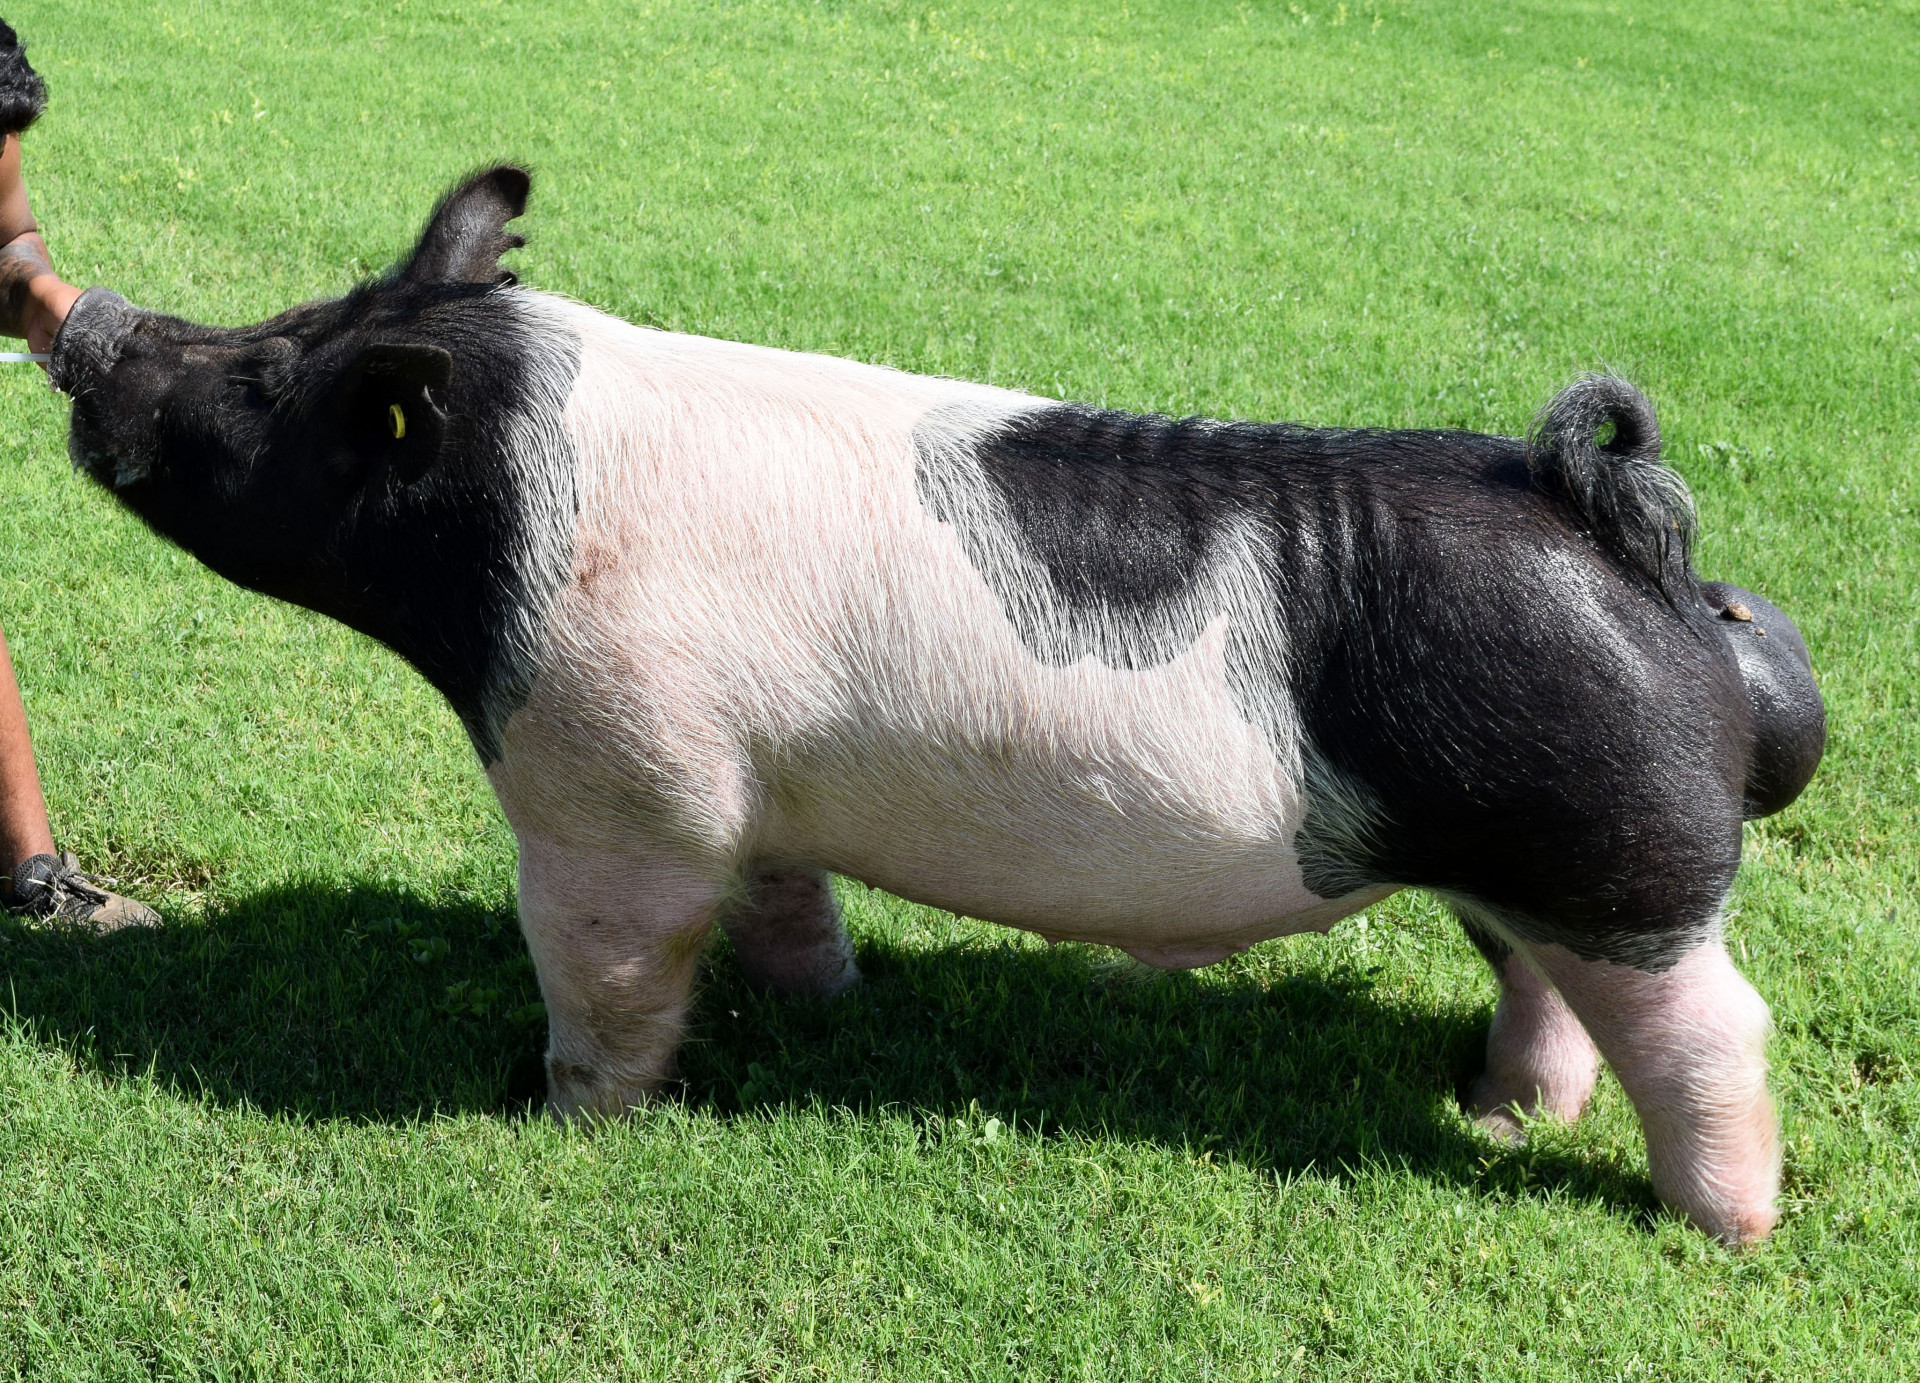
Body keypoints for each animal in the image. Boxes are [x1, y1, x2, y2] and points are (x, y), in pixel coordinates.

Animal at [50, 167, 1824, 1245]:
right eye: (291, 320)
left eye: (270, 382)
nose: (102, 328)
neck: (516, 513)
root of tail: (1640, 554)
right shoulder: (753, 781)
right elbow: (781, 896)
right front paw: (824, 1006)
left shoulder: (617, 774)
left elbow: (607, 957)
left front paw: (564, 1112)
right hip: (1522, 857)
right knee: (1545, 990)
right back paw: (1503, 1117)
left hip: (1621, 859)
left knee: (1717, 1029)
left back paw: (1720, 1226)